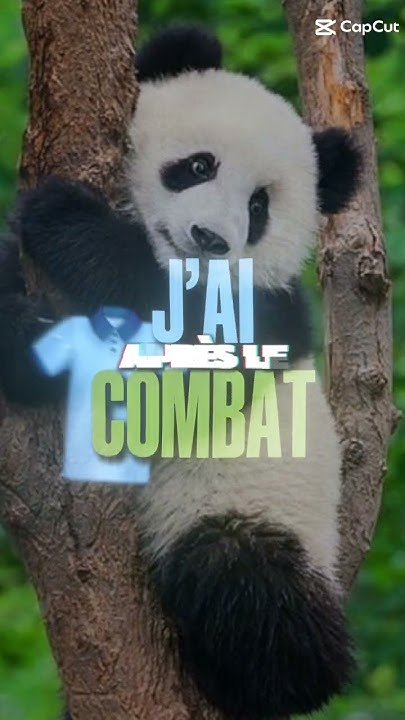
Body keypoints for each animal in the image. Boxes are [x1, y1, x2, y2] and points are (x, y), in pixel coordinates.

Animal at [0, 24, 362, 720]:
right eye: (199, 165)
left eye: (258, 207)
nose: (210, 239)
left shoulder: (260, 321)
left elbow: (173, 381)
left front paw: (63, 220)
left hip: (263, 516)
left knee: (245, 581)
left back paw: (260, 678)